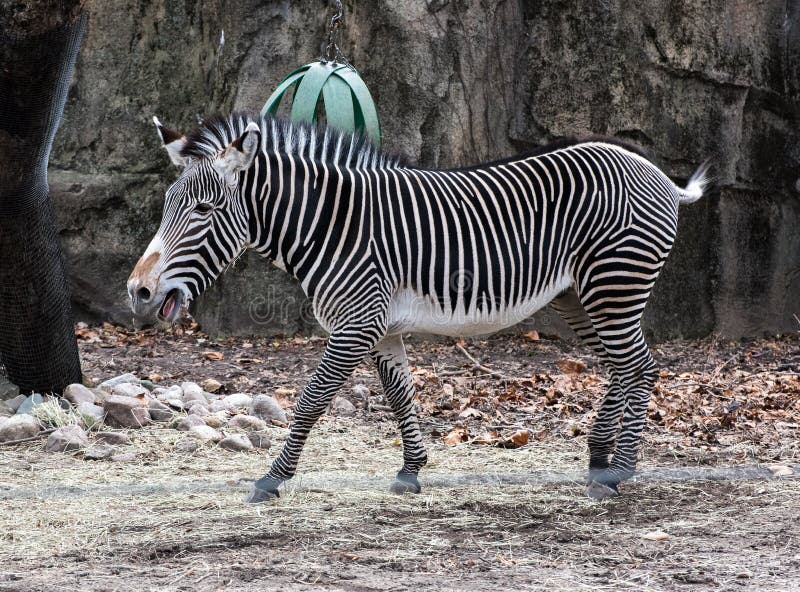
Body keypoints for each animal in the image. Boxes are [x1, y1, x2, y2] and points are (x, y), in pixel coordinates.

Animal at [128, 111, 709, 503]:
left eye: (204, 210)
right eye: (168, 206)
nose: (138, 291)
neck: (330, 227)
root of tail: (657, 174)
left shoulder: (355, 324)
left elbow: (311, 401)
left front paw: (272, 479)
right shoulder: (380, 327)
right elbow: (400, 395)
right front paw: (411, 470)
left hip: (615, 285)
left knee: (641, 367)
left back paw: (620, 472)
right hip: (578, 299)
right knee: (623, 368)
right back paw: (598, 460)